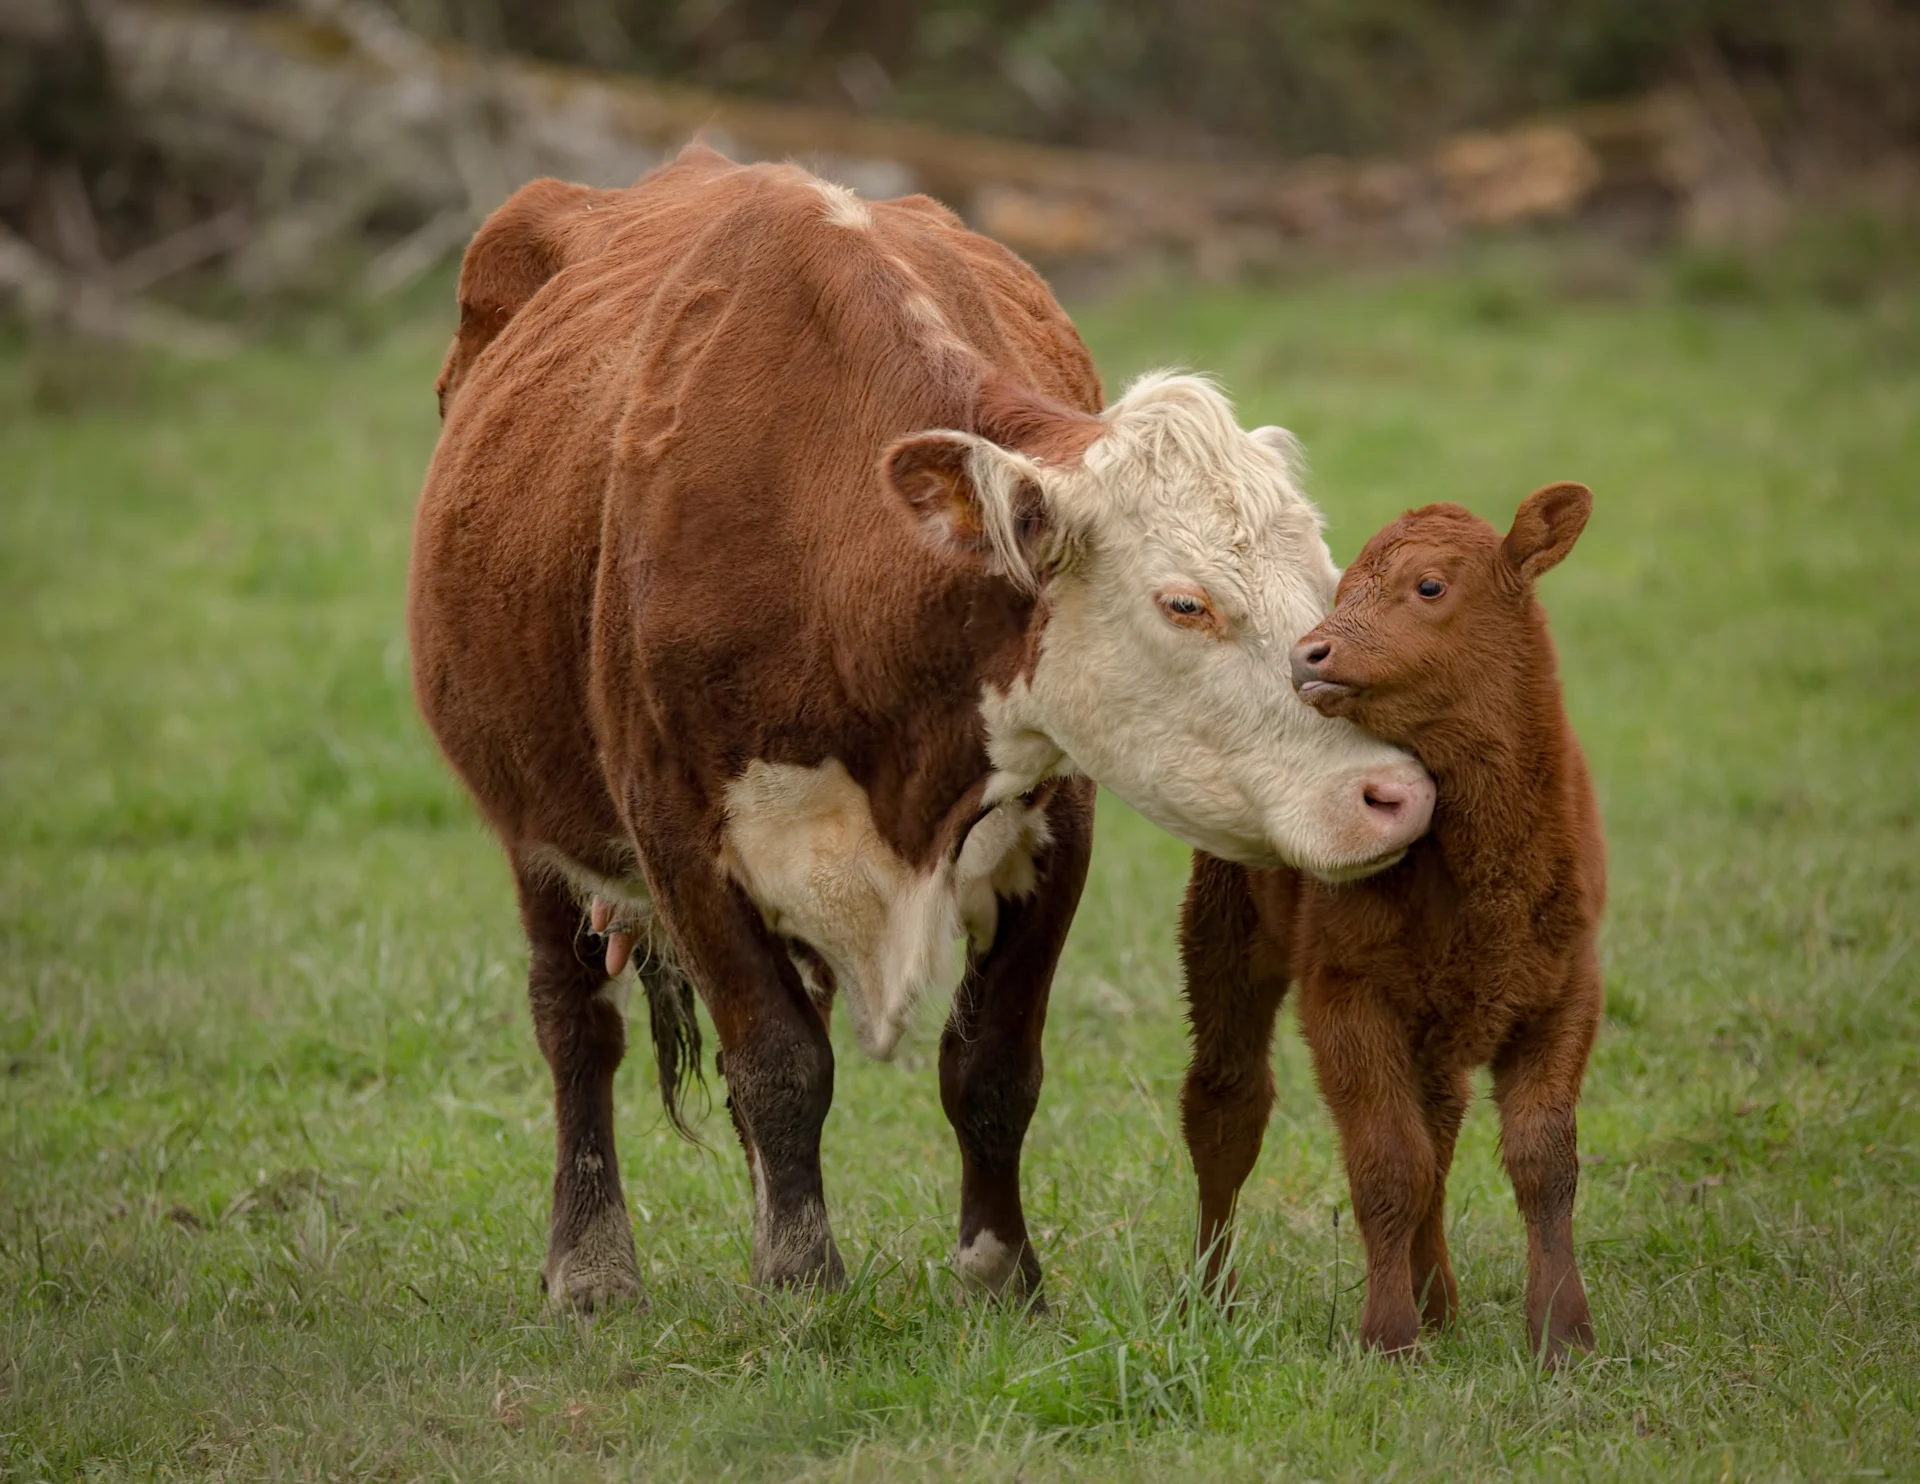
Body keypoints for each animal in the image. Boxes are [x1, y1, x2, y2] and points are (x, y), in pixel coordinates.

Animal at [408, 144, 1435, 1312]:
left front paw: (998, 1273)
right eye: (1185, 603)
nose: (1393, 793)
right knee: (576, 1019)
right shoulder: (675, 831)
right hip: (534, 821)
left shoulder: (1057, 820)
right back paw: (590, 1262)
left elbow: (988, 1066)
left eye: (1324, 583)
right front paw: (803, 1281)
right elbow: (778, 1061)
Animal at [1178, 483, 1603, 1362]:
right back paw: (1211, 1299)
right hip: (1223, 935)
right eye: (1340, 591)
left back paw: (1439, 1299)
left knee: (1438, 1128)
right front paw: (1388, 1336)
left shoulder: (1567, 990)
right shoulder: (1346, 994)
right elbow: (1387, 1164)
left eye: (1430, 586)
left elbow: (1543, 1162)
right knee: (1227, 1109)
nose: (1308, 653)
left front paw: (1562, 1331)